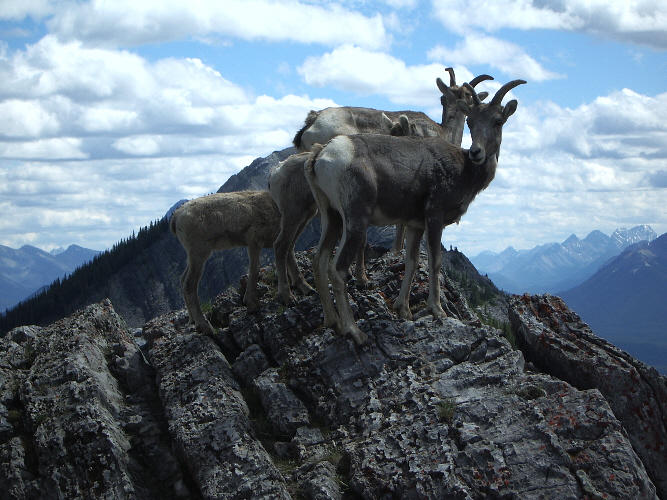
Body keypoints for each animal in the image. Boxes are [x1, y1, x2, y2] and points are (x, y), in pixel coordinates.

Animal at [170, 190, 280, 334]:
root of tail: (176, 217)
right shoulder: (254, 240)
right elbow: (254, 269)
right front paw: (252, 305)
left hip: (193, 255)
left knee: (183, 279)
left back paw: (192, 320)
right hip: (199, 252)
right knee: (189, 284)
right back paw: (205, 326)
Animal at [269, 113, 416, 305]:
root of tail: (275, 173)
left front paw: (361, 278)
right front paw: (362, 279)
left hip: (305, 215)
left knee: (289, 247)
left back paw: (304, 287)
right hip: (293, 214)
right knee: (280, 246)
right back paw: (287, 296)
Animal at [304, 80, 525, 345]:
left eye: (498, 121)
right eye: (471, 121)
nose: (476, 153)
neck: (464, 170)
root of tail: (322, 155)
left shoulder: (415, 225)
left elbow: (411, 262)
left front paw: (404, 310)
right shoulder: (434, 218)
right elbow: (434, 261)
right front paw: (437, 309)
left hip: (332, 217)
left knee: (319, 261)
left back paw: (333, 322)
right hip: (355, 221)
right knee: (337, 270)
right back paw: (354, 332)